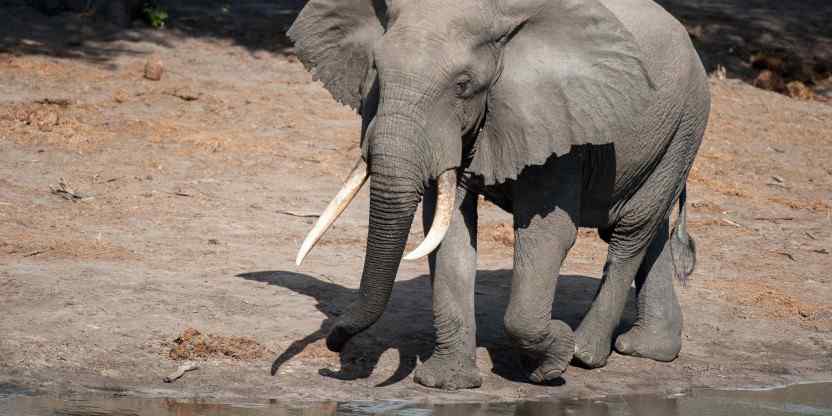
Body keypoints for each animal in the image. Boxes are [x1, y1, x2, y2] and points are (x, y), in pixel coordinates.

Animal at [288, 0, 709, 389]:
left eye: (462, 85)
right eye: (376, 72)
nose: (334, 344)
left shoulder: (555, 120)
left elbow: (546, 234)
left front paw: (552, 359)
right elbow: (448, 230)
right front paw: (447, 383)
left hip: (685, 125)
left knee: (630, 232)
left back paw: (586, 352)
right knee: (649, 231)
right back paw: (648, 349)